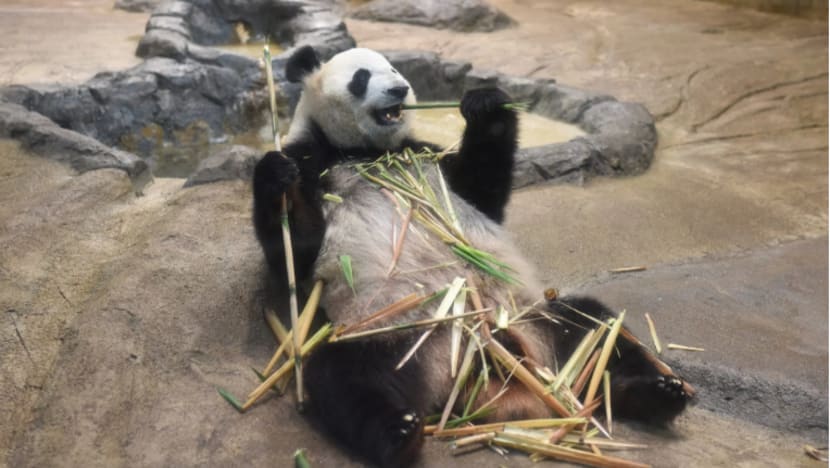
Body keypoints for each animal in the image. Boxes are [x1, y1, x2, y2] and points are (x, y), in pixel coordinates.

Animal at [252, 46, 692, 467]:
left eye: (394, 69)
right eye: (361, 77)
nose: (399, 90)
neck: (366, 151)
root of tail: (480, 370)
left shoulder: (427, 158)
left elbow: (481, 193)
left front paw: (486, 105)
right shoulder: (314, 160)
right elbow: (297, 249)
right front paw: (275, 177)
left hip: (532, 318)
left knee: (595, 327)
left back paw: (657, 391)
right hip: (399, 336)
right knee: (344, 376)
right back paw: (399, 434)